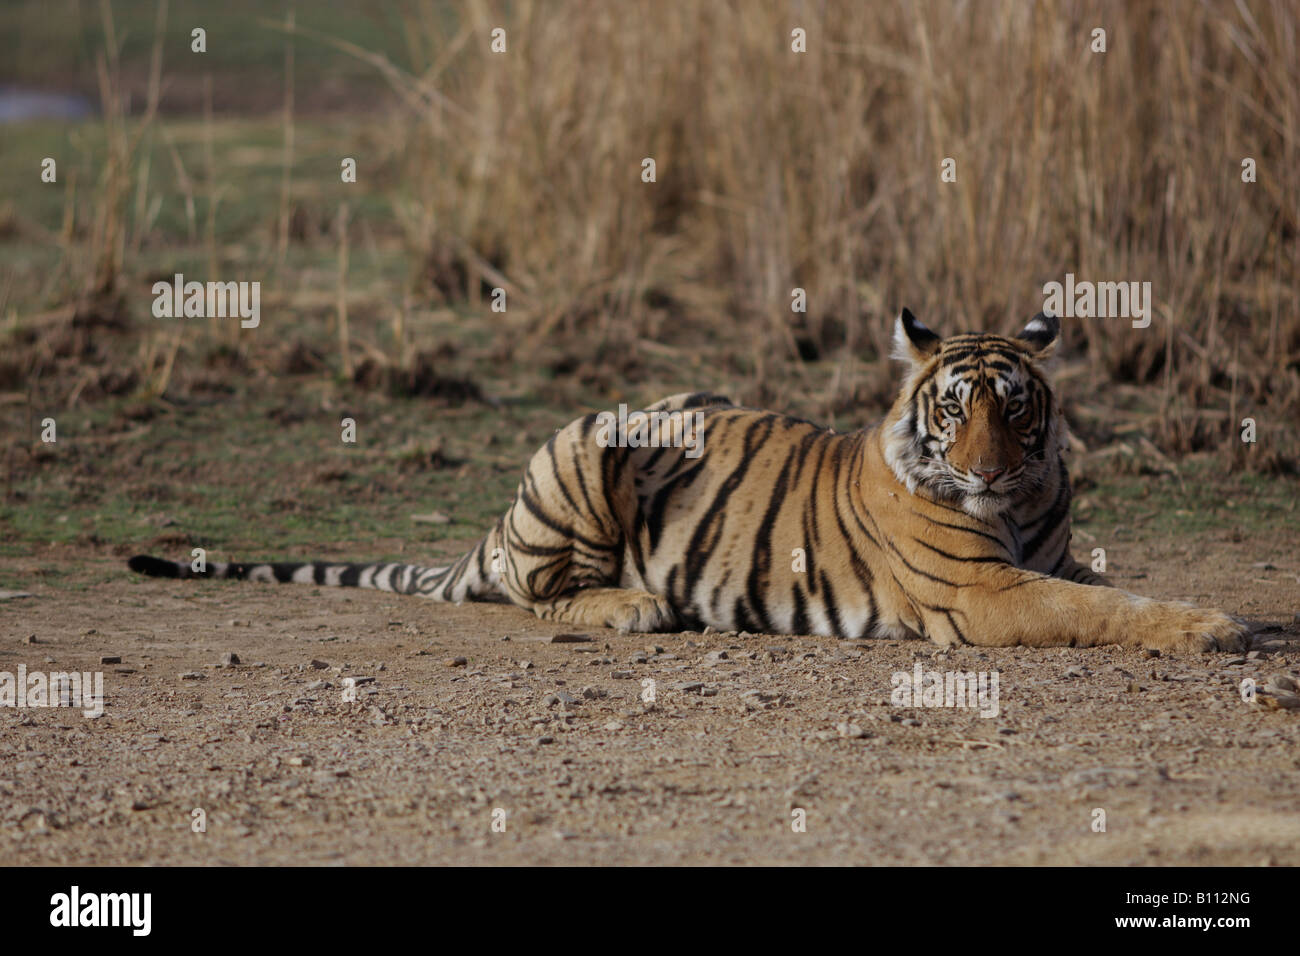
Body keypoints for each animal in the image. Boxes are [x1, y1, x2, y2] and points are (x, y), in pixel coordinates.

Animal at [129, 309, 1247, 653]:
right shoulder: (981, 591)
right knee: (534, 593)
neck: (1015, 506)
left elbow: (1113, 590)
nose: (980, 471)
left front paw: (1208, 616)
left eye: (1015, 409)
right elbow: (1102, 610)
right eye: (952, 410)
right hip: (593, 444)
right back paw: (634, 603)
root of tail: (494, 521)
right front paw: (1217, 627)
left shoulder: (1040, 562)